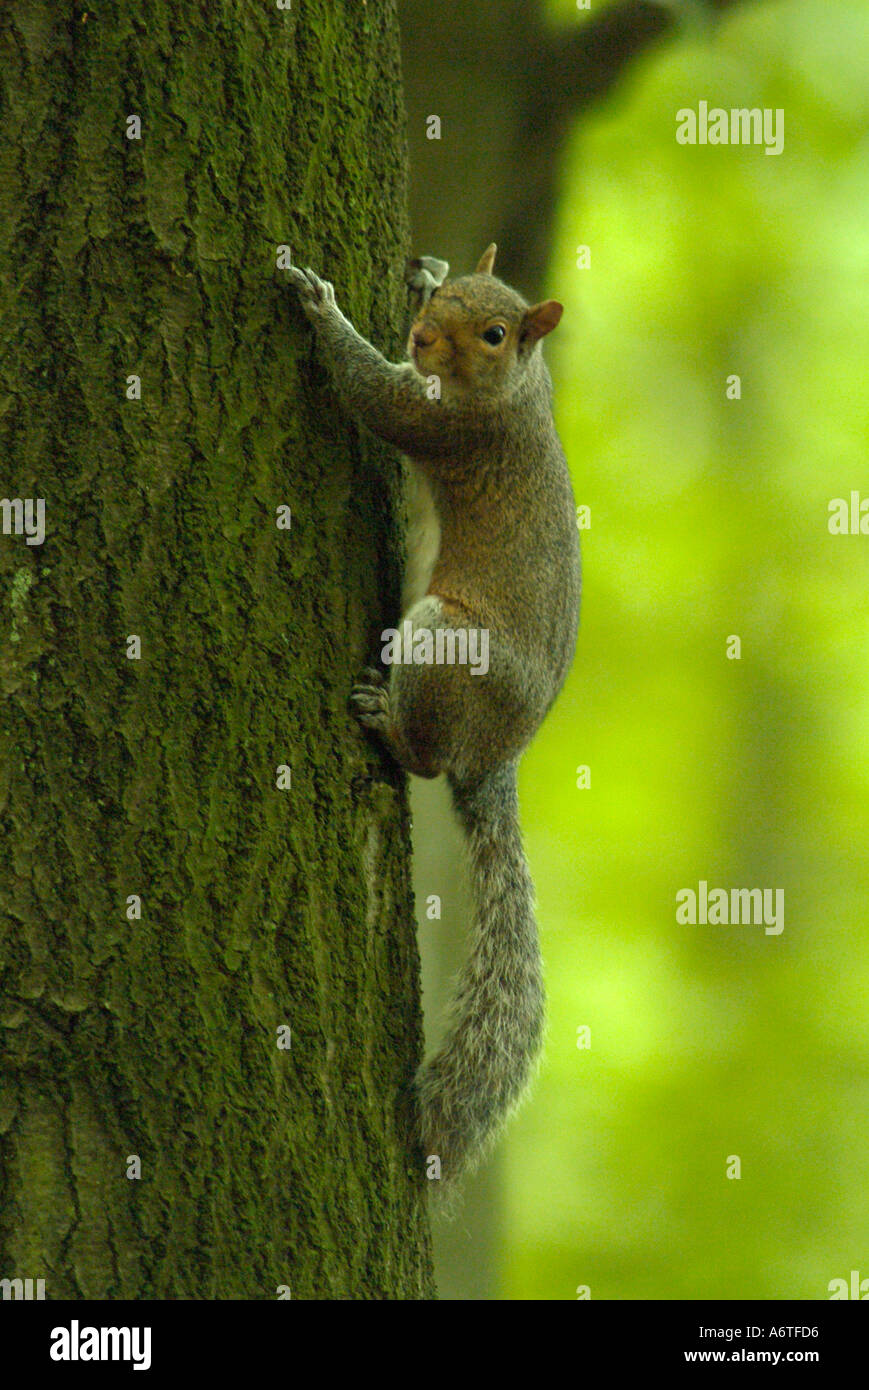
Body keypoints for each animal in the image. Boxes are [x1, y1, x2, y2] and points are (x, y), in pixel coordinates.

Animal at [287, 244, 581, 1188]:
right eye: (450, 300)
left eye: (493, 333)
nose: (420, 333)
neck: (514, 389)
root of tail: (497, 753)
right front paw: (416, 272)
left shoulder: (447, 427)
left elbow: (374, 396)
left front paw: (320, 306)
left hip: (441, 639)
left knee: (422, 757)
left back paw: (384, 719)